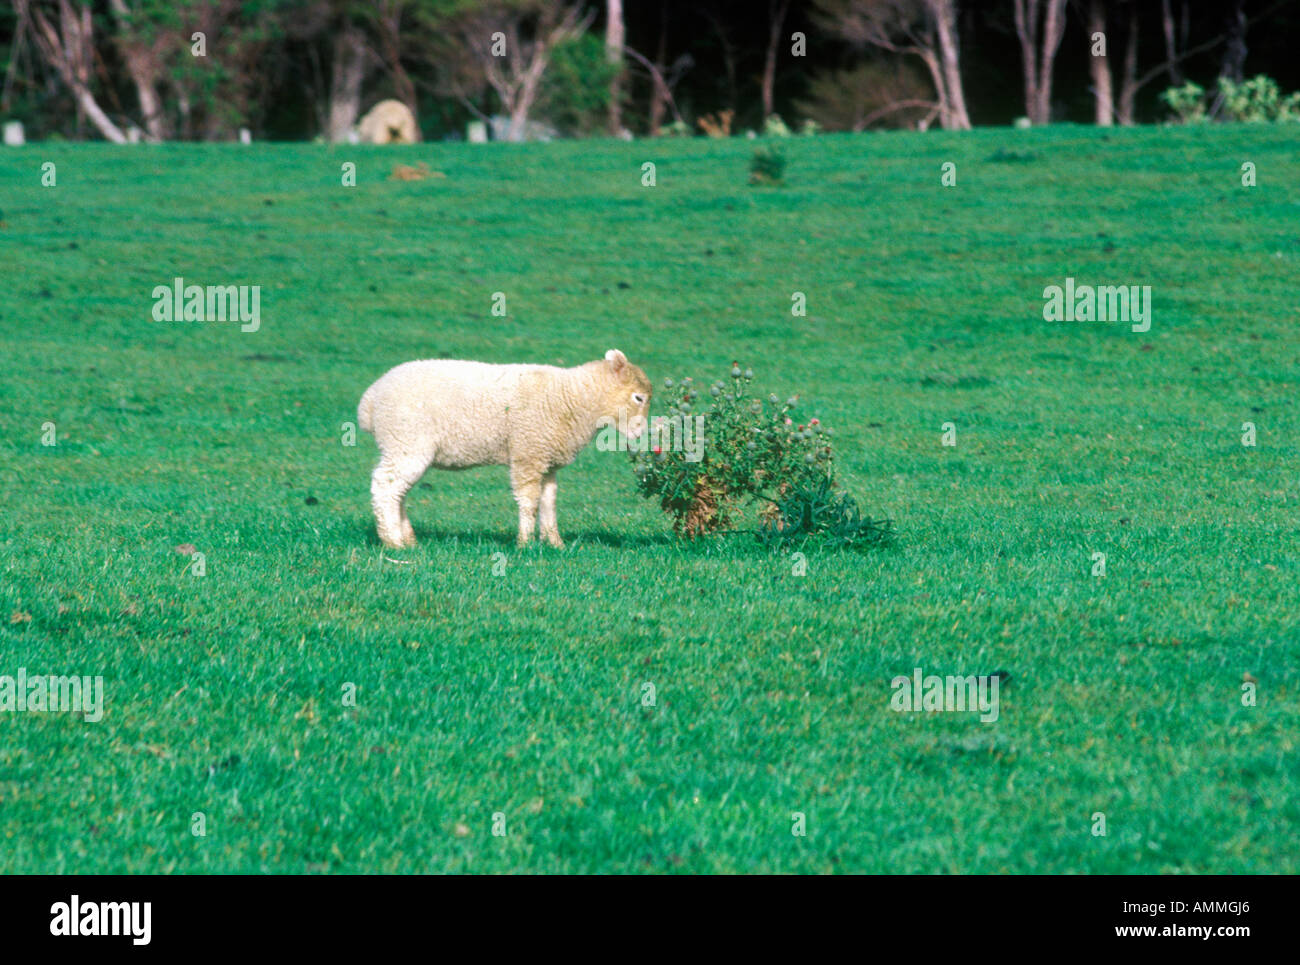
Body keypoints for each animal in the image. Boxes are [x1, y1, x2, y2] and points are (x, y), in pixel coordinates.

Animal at [358, 350, 652, 549]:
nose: (640, 433)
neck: (573, 397)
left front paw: (554, 542)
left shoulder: (546, 458)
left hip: (403, 446)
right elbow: (529, 501)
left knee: (398, 492)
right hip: (405, 441)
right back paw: (393, 541)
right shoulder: (528, 452)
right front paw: (525, 542)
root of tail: (370, 400)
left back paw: (408, 539)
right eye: (638, 398)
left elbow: (549, 502)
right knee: (384, 486)